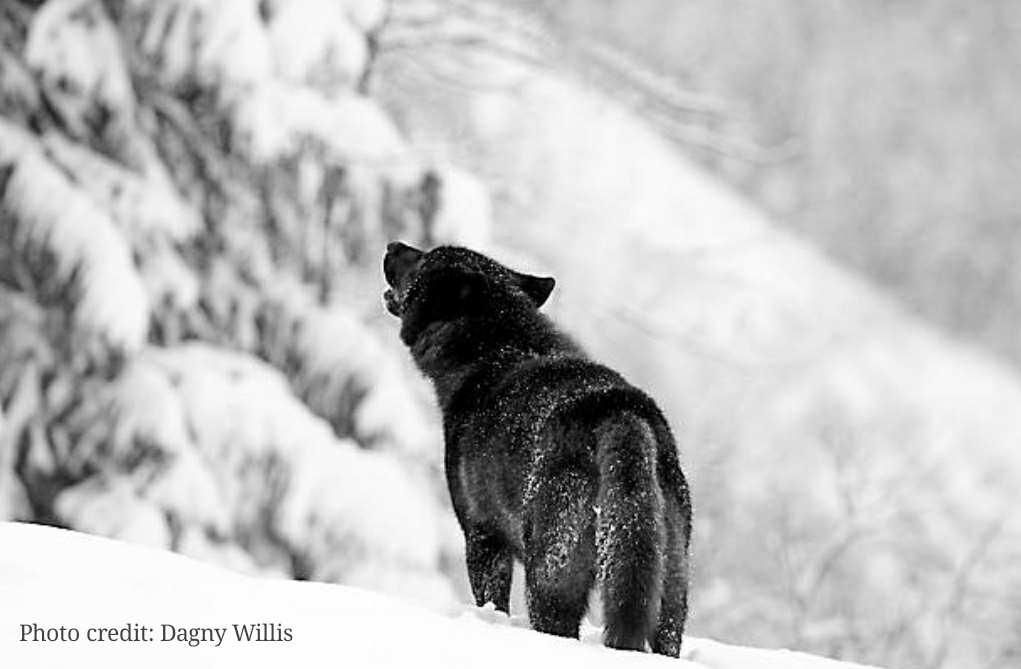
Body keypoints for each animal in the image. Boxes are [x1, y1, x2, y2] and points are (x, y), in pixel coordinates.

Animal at [383, 242, 692, 655]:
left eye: (423, 257)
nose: (392, 245)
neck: (497, 350)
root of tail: (618, 407)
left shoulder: (482, 538)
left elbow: (491, 601)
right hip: (670, 599)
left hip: (549, 580)